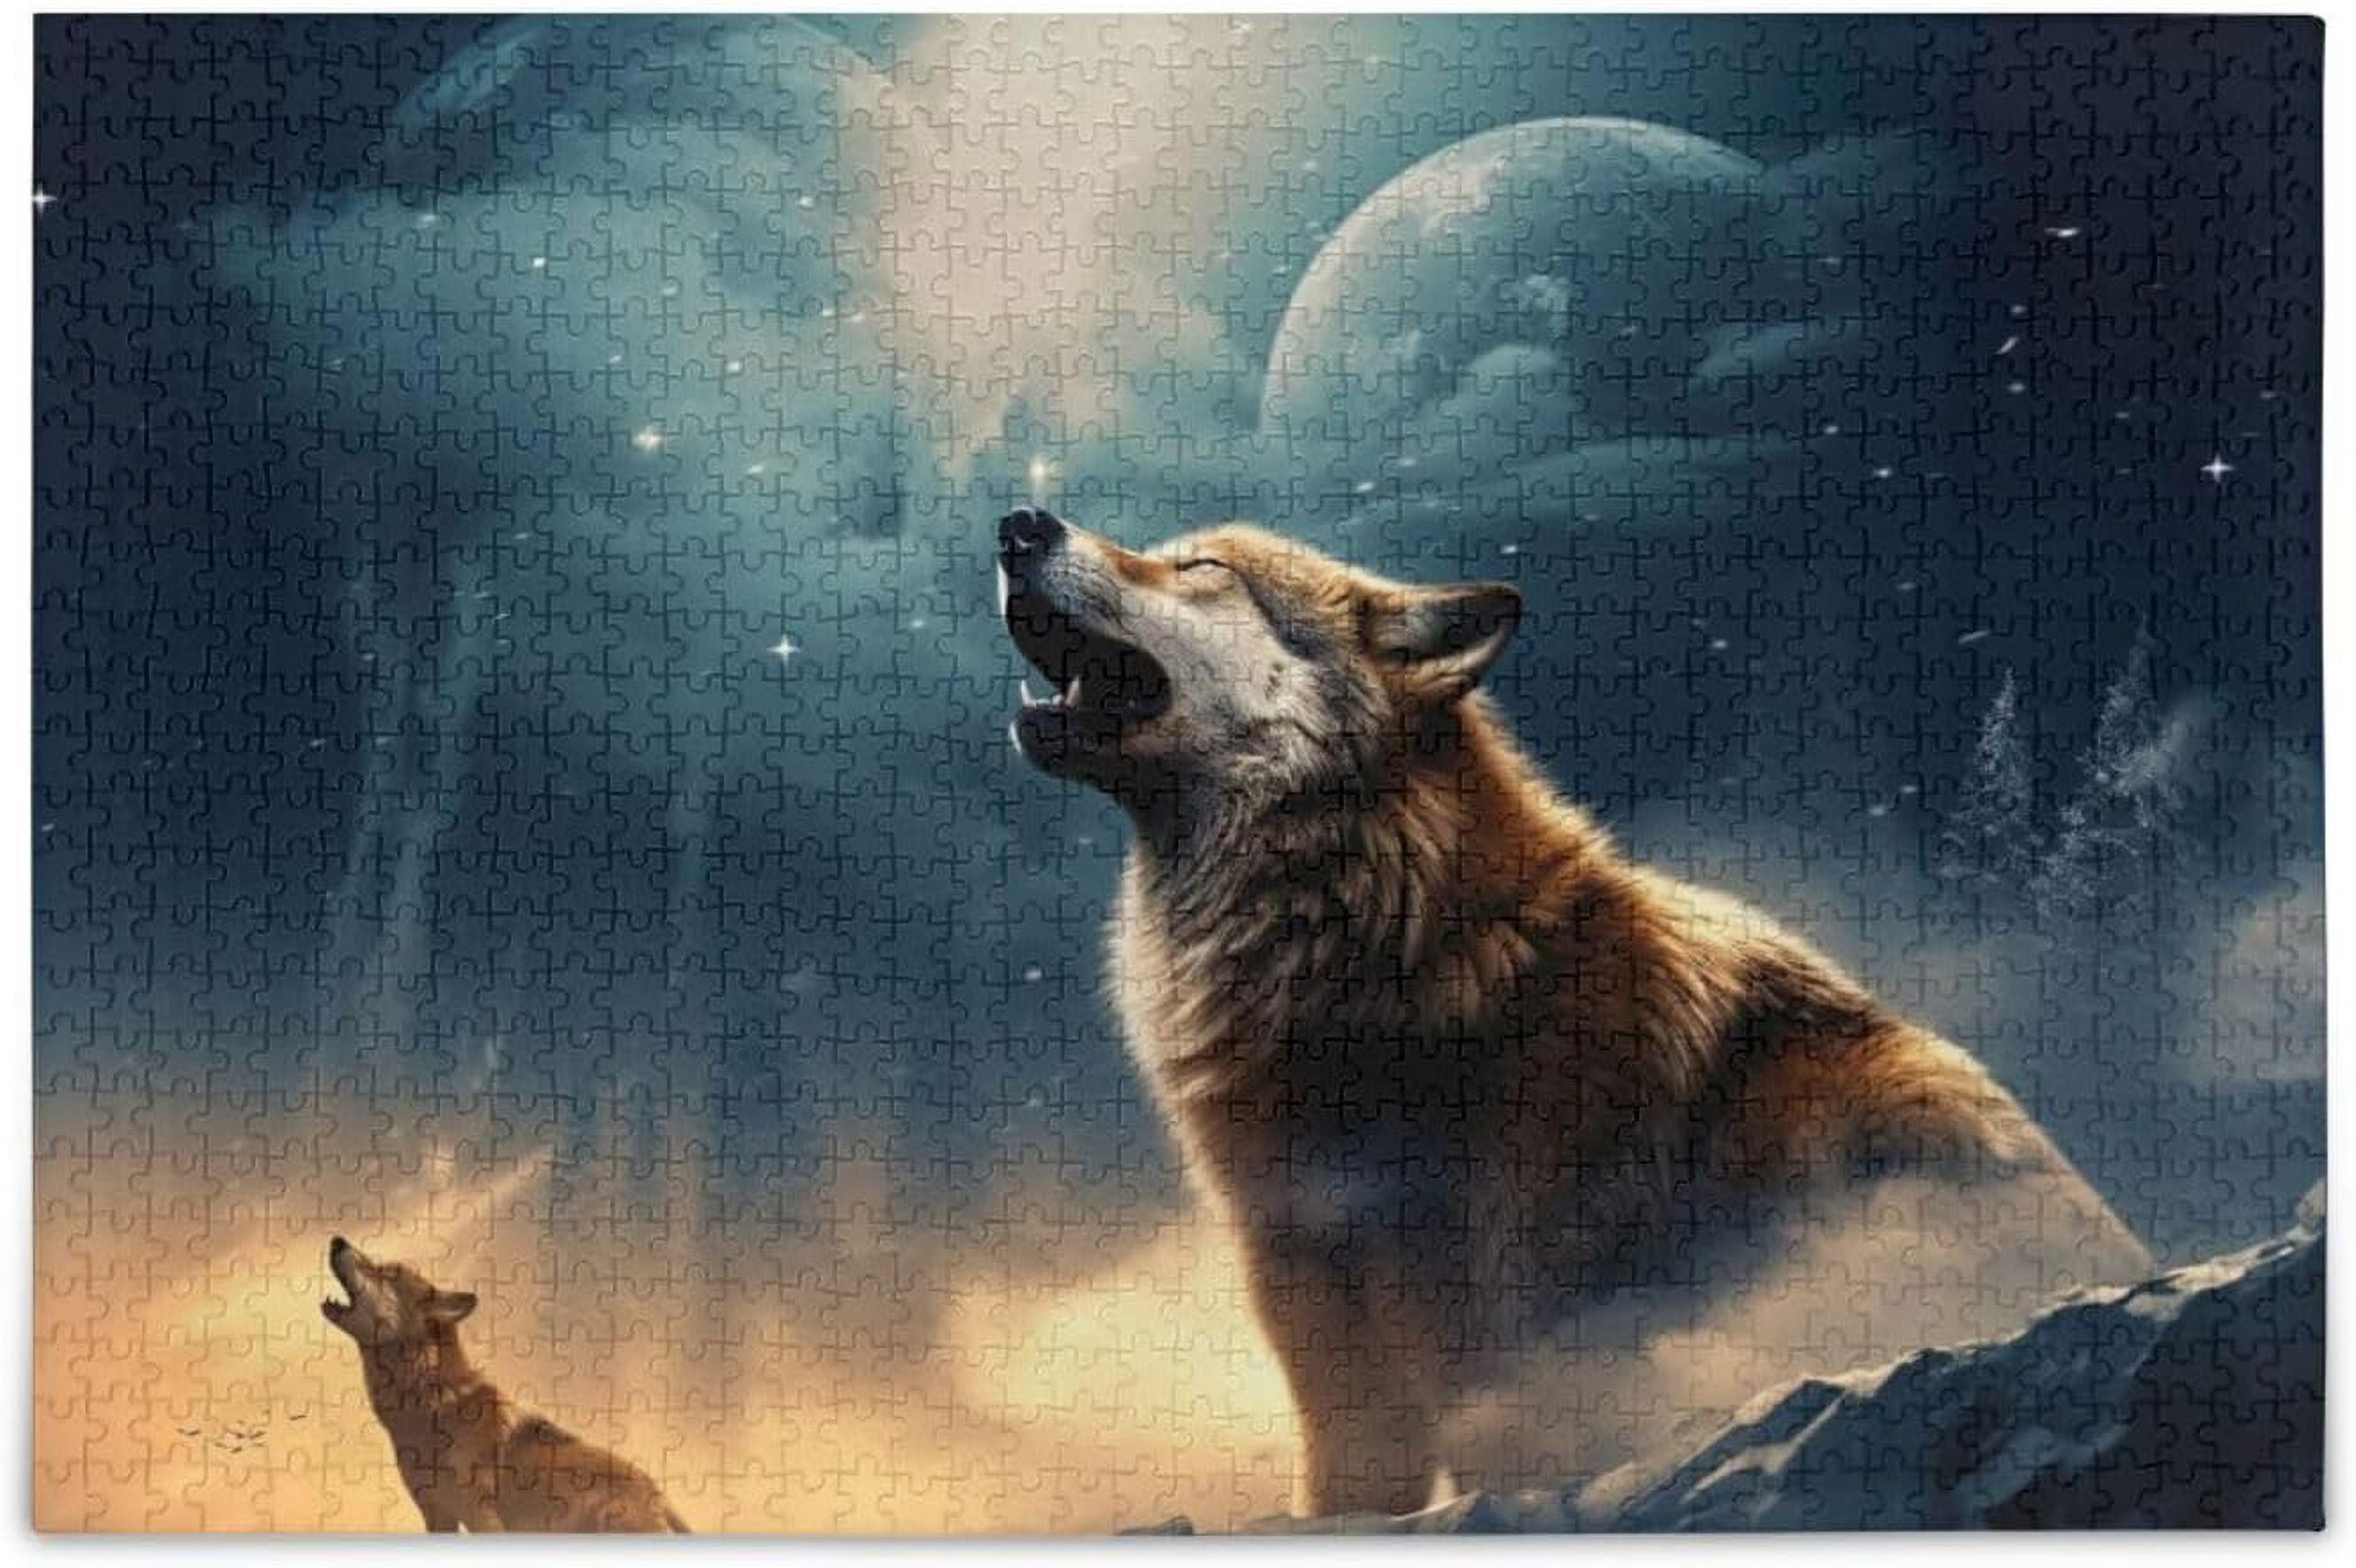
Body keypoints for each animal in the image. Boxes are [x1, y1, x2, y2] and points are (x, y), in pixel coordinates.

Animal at [321, 1237, 689, 1532]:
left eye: (386, 1273)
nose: (337, 1240)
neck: (434, 1405)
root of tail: (663, 1500)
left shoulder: (481, 1517)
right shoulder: (437, 1515)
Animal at [996, 507, 2154, 1517]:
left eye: (1200, 569)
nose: (1017, 525)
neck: (1382, 936)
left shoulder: (1506, 1285)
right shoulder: (1298, 1271)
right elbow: (1351, 1467)